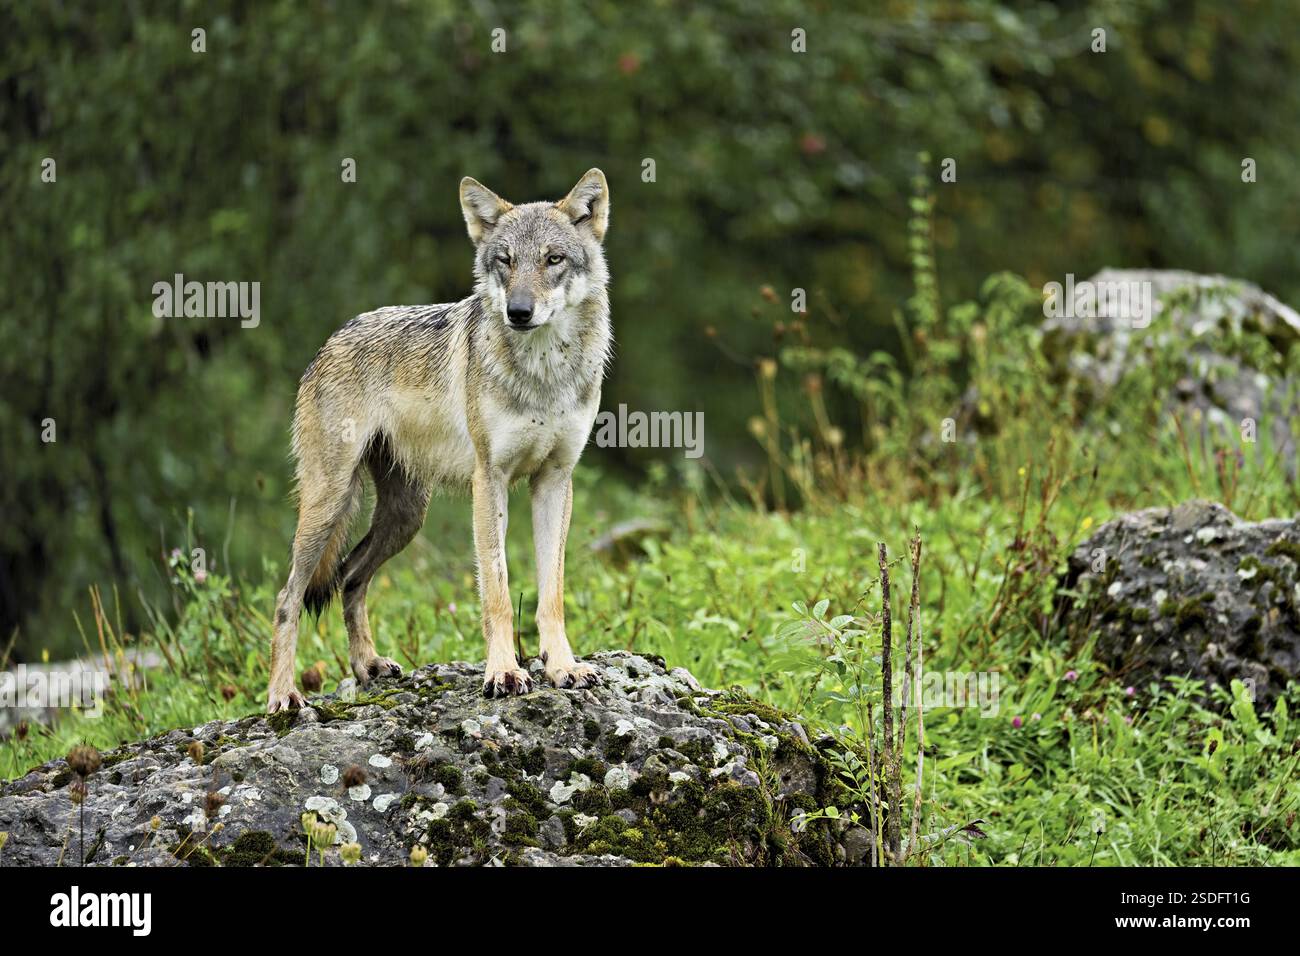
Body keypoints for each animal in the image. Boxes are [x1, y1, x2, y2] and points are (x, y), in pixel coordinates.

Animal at [265, 170, 612, 713]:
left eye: (553, 259)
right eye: (505, 261)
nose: (519, 311)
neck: (542, 374)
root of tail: (330, 339)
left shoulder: (555, 481)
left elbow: (551, 594)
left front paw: (563, 668)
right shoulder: (489, 481)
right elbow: (496, 591)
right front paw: (503, 673)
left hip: (406, 517)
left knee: (349, 574)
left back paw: (367, 666)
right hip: (330, 504)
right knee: (289, 597)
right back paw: (283, 696)